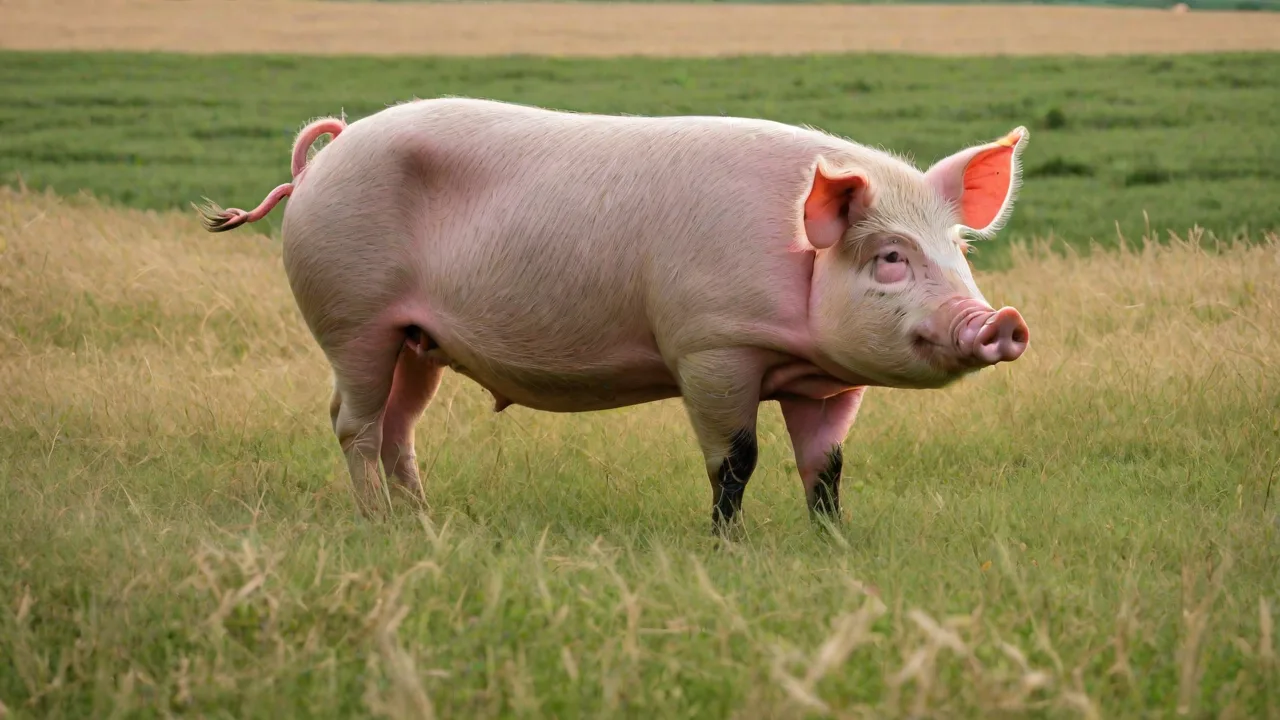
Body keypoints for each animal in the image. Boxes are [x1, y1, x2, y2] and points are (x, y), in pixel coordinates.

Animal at [197, 97, 1031, 532]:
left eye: (958, 247)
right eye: (890, 256)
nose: (999, 321)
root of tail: (333, 150)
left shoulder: (828, 382)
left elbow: (825, 467)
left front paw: (833, 545)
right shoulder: (711, 346)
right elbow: (736, 459)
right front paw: (725, 546)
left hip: (416, 339)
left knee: (400, 425)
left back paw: (423, 519)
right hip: (352, 317)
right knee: (353, 422)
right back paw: (377, 523)